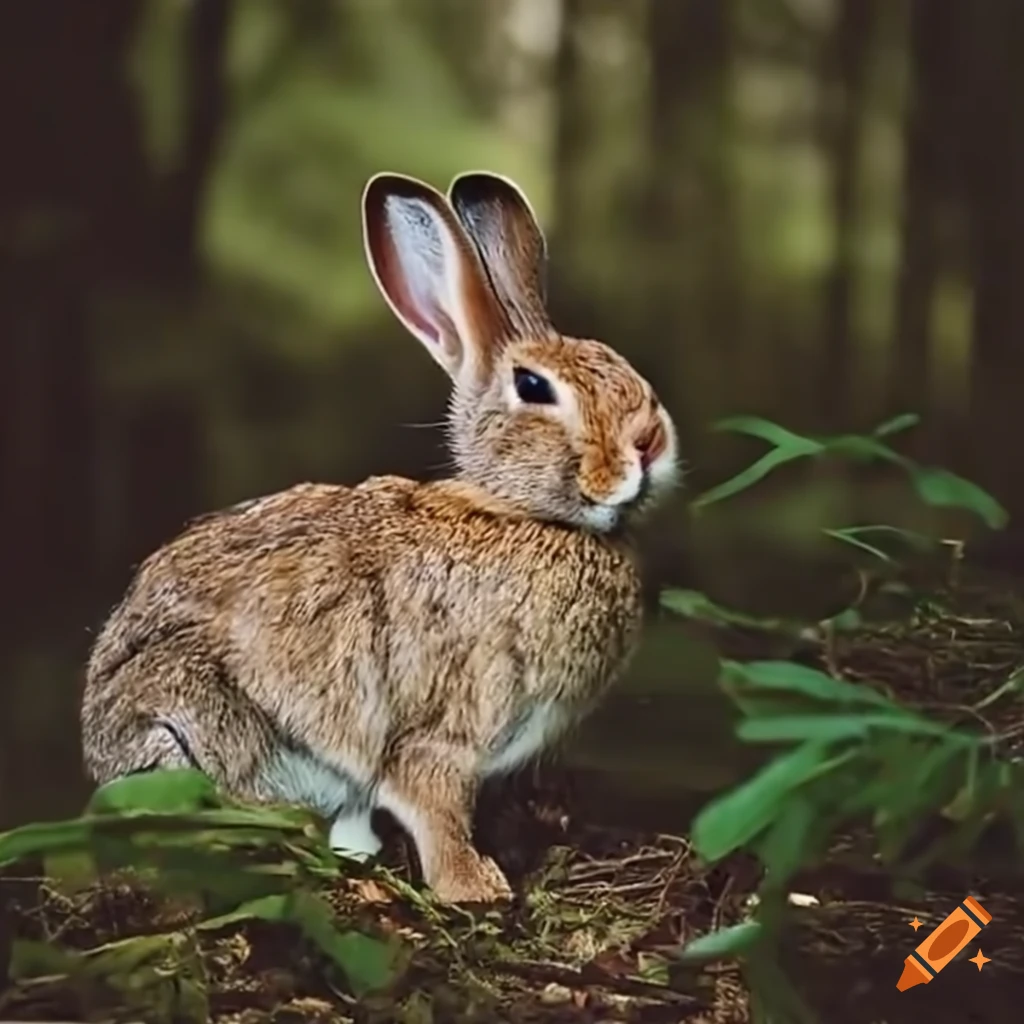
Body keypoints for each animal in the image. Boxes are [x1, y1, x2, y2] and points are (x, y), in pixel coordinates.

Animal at [80, 170, 679, 903]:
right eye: (534, 386)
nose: (651, 442)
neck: (523, 514)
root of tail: (99, 748)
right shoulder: (449, 724)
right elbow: (433, 801)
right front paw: (474, 886)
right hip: (194, 725)